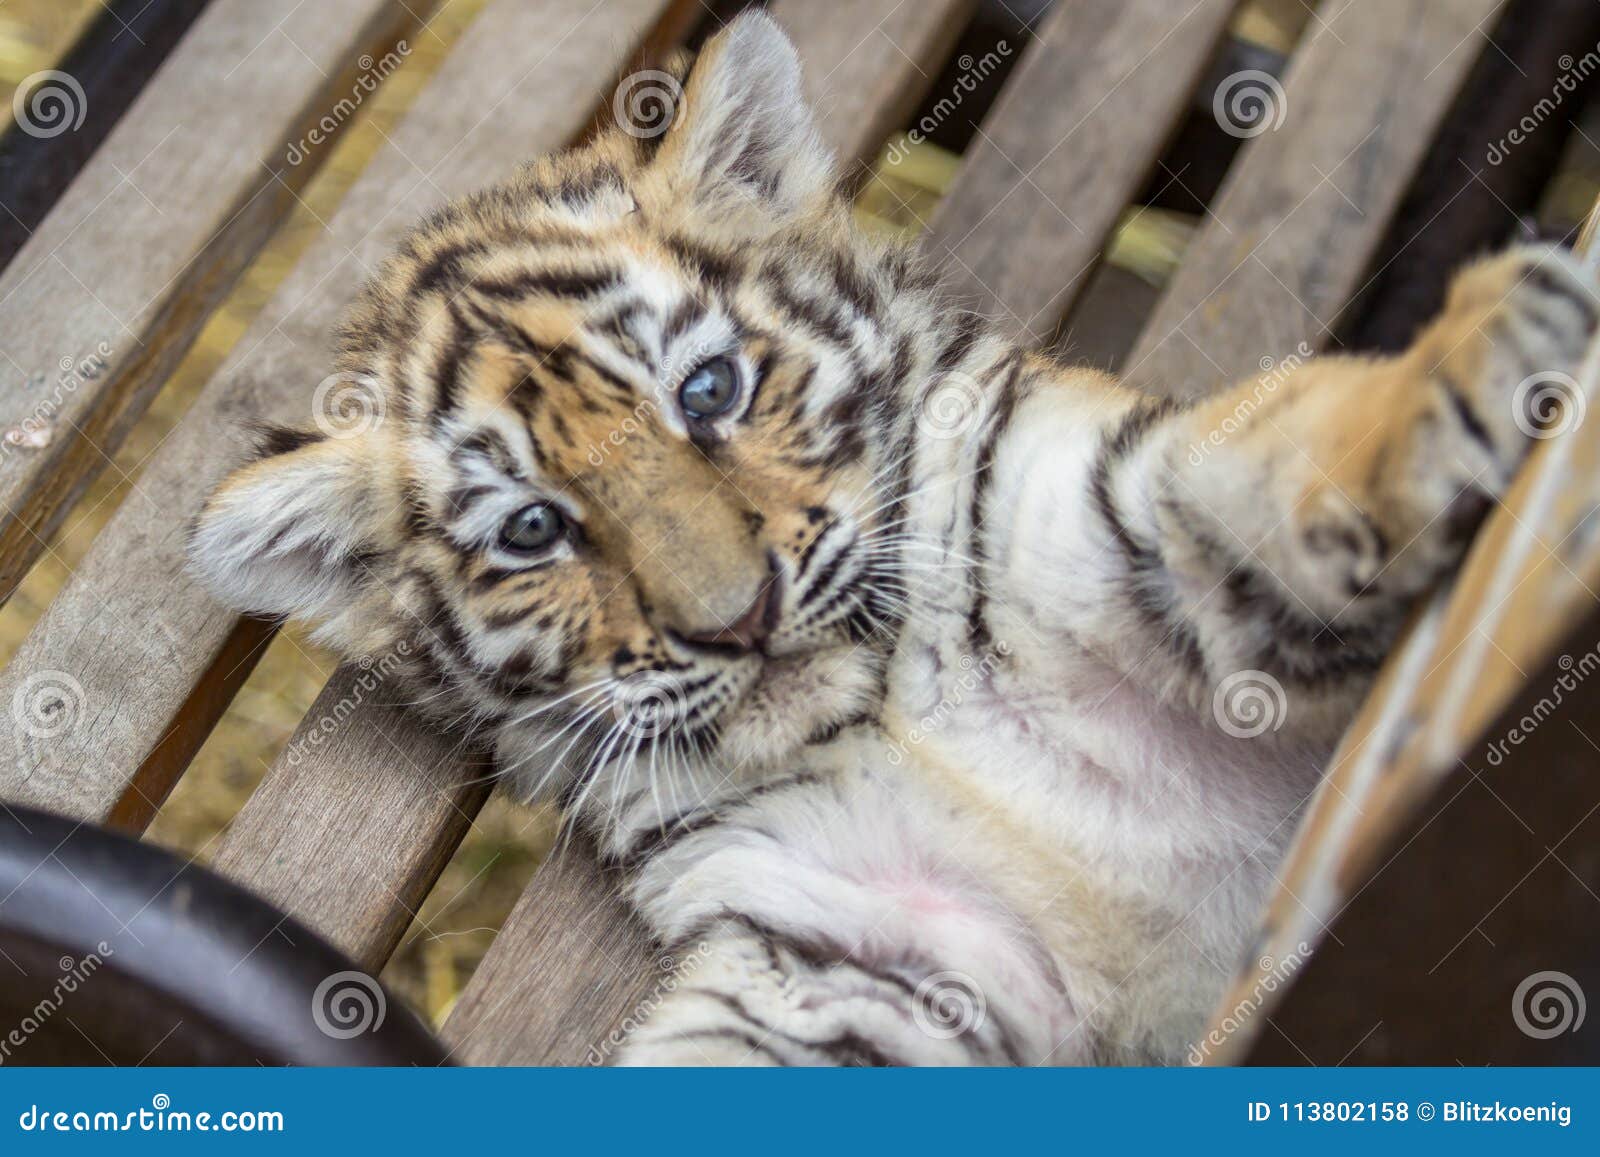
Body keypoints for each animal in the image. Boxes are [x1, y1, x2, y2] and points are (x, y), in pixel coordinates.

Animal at [189, 11, 1598, 1064]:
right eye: (535, 527)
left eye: (707, 390)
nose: (740, 618)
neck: (880, 708)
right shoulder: (870, 960)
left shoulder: (1110, 513)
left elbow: (1284, 460)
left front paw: (1499, 339)